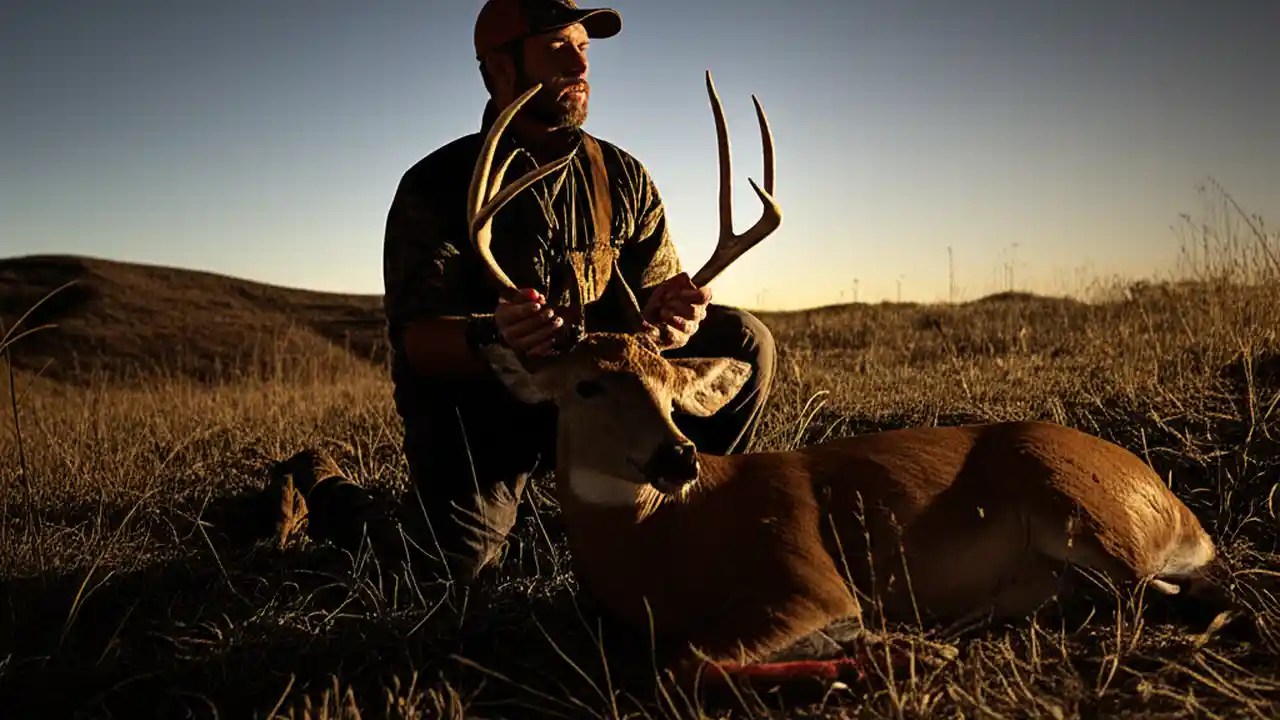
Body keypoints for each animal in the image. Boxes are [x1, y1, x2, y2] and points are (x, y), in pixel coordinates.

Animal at [463, 74, 1225, 691]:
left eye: (669, 387)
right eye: (586, 386)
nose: (678, 454)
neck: (666, 543)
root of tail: (1178, 510)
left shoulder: (810, 578)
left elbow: (686, 664)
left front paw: (903, 653)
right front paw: (899, 651)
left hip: (1079, 508)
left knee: (1184, 595)